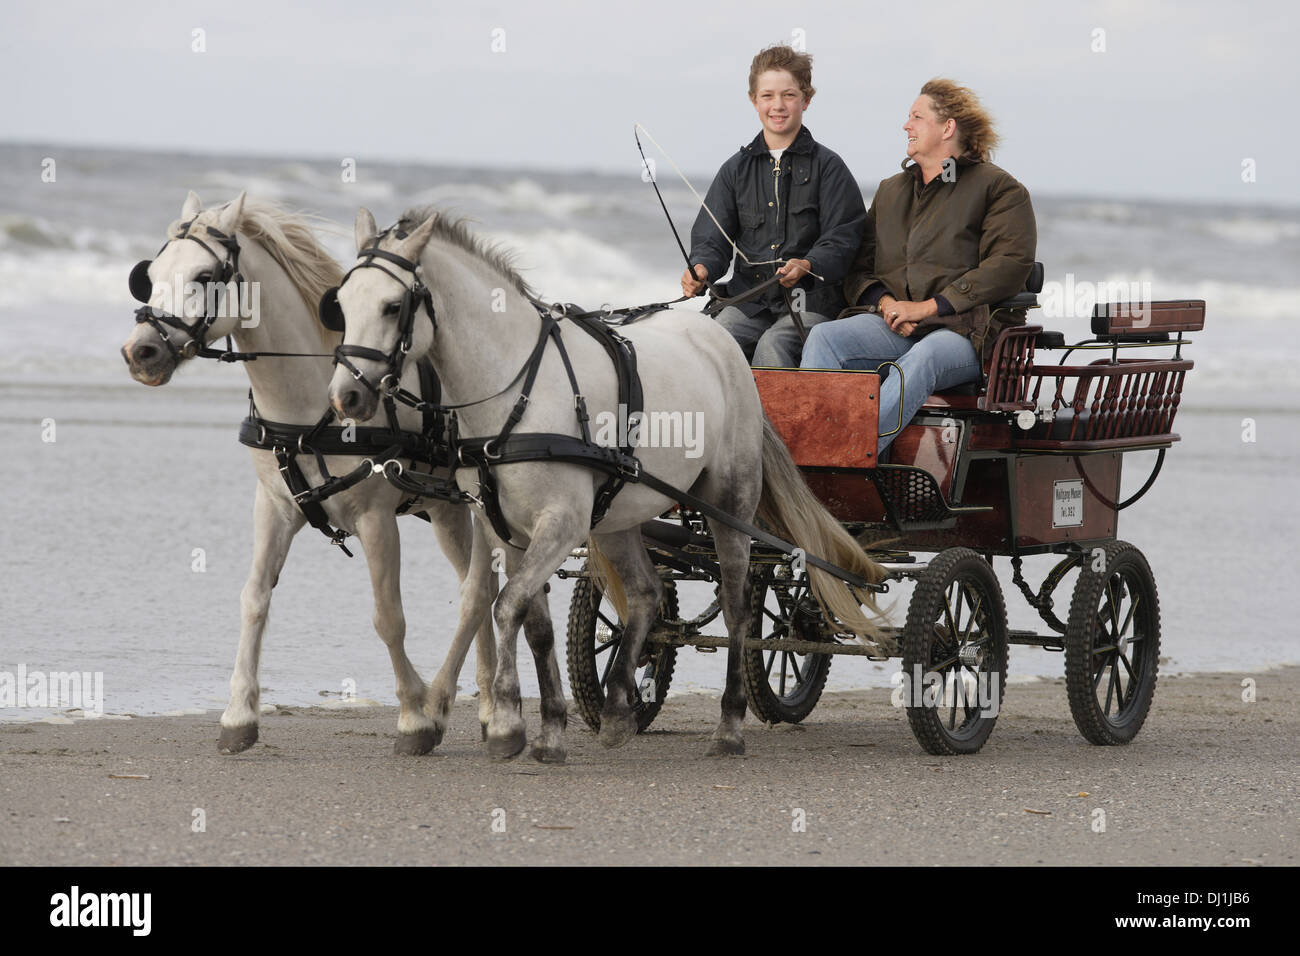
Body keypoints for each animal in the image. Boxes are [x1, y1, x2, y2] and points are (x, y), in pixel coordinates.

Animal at [120, 191, 498, 755]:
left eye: (205, 276)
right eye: (151, 274)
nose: (140, 351)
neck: (314, 404)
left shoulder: (376, 520)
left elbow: (388, 617)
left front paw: (414, 714)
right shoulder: (275, 507)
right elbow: (254, 599)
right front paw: (239, 715)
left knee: (483, 590)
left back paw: (492, 709)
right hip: (451, 511)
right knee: (485, 588)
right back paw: (497, 706)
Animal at [326, 205, 886, 760]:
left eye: (393, 306)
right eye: (342, 304)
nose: (345, 397)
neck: (515, 392)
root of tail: (725, 346)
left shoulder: (562, 523)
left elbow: (506, 607)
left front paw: (506, 723)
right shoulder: (505, 527)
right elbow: (533, 622)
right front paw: (549, 727)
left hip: (730, 503)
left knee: (737, 607)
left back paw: (729, 726)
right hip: (618, 517)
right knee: (645, 594)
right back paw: (618, 707)